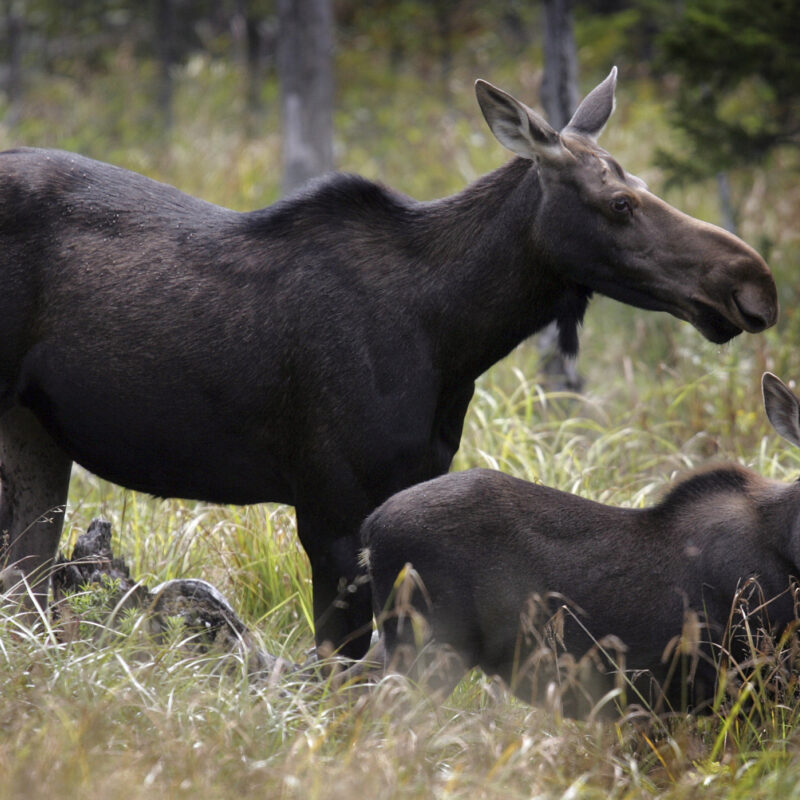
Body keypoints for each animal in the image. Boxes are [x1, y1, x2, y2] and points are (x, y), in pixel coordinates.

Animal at [0, 68, 777, 659]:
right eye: (619, 202)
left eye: (640, 183)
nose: (754, 284)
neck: (451, 336)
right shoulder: (331, 510)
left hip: (35, 434)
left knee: (25, 589)